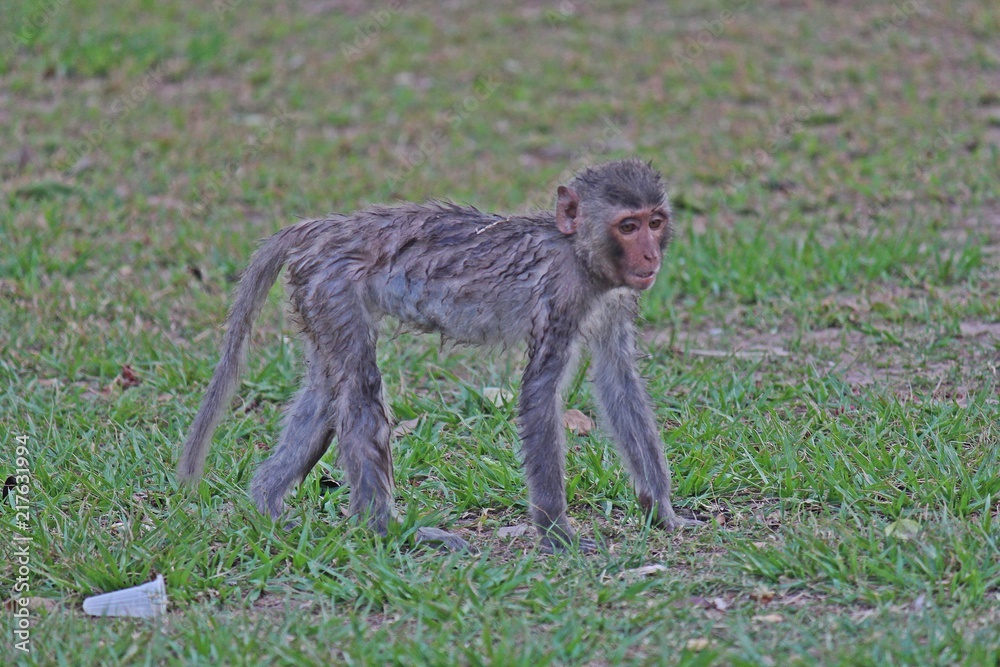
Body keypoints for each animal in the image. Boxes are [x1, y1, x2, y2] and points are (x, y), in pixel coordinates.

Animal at [178, 158, 700, 552]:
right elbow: (539, 394)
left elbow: (618, 380)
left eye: (655, 222)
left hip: (317, 295)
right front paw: (557, 535)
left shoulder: (613, 299)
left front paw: (663, 511)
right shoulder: (561, 297)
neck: (578, 253)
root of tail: (324, 228)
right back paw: (384, 531)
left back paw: (266, 505)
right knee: (358, 392)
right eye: (628, 226)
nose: (651, 257)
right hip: (332, 284)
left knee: (327, 391)